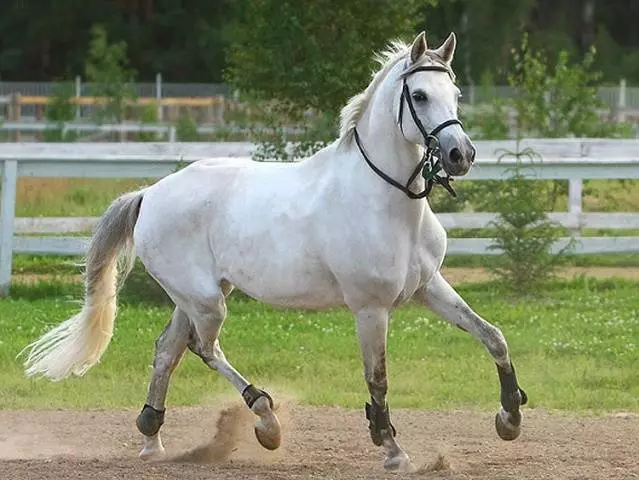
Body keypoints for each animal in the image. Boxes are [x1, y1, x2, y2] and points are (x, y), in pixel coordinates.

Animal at [22, 31, 528, 470]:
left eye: (455, 94)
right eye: (419, 96)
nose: (461, 155)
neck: (386, 201)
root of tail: (150, 194)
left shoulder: (429, 288)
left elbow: (493, 336)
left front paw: (510, 418)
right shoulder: (371, 308)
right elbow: (378, 379)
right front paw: (392, 451)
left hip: (196, 296)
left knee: (168, 349)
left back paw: (153, 439)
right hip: (207, 300)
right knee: (202, 347)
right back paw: (265, 419)